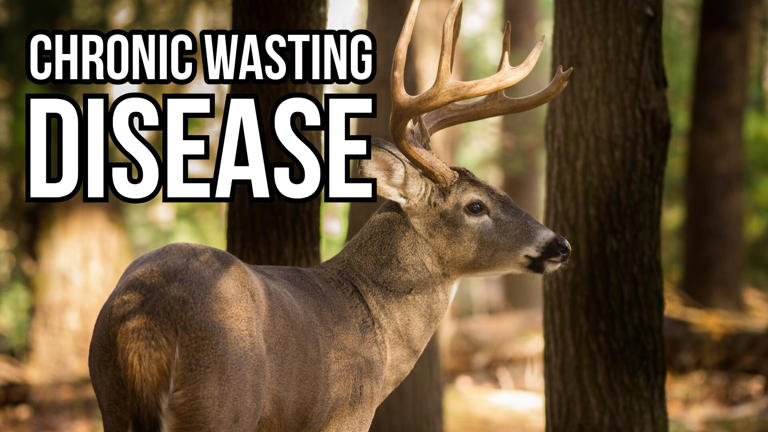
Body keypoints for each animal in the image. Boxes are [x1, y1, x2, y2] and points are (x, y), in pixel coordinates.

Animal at [88, 0, 573, 430]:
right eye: (475, 205)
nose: (560, 245)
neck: (376, 323)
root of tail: (147, 318)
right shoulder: (346, 413)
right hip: (221, 400)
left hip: (110, 393)